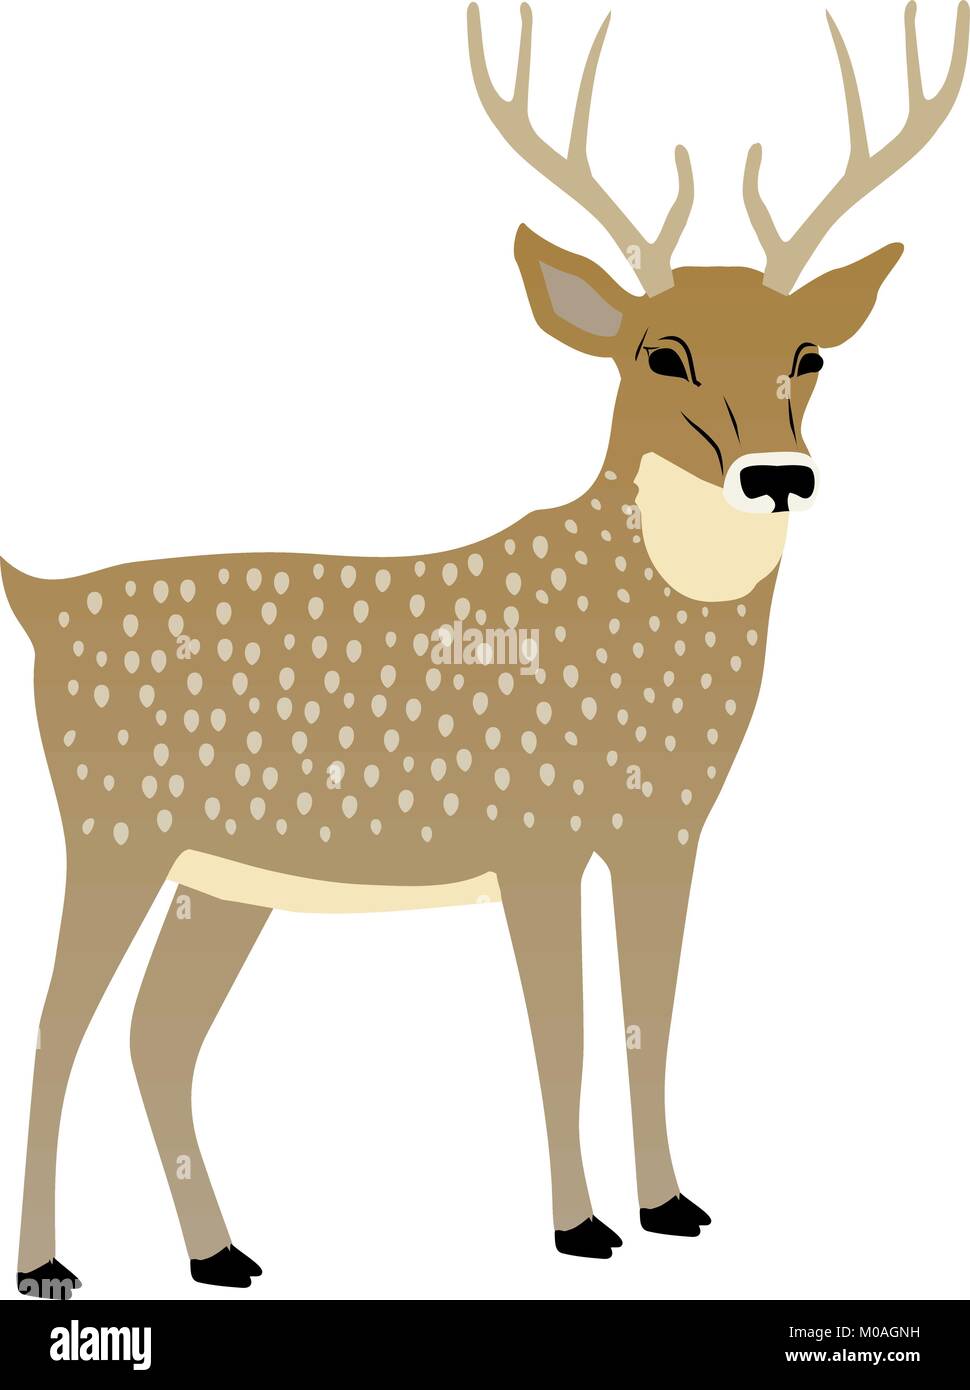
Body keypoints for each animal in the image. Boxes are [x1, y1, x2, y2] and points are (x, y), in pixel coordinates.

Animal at [4, 1, 967, 1297]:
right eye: (660, 351)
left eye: (811, 352)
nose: (779, 475)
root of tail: (39, 599)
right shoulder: (531, 825)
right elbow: (560, 1030)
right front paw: (580, 1226)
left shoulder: (666, 830)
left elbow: (648, 1015)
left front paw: (671, 1204)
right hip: (110, 824)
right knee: (56, 1022)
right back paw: (50, 1265)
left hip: (222, 874)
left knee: (157, 1033)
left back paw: (224, 1253)